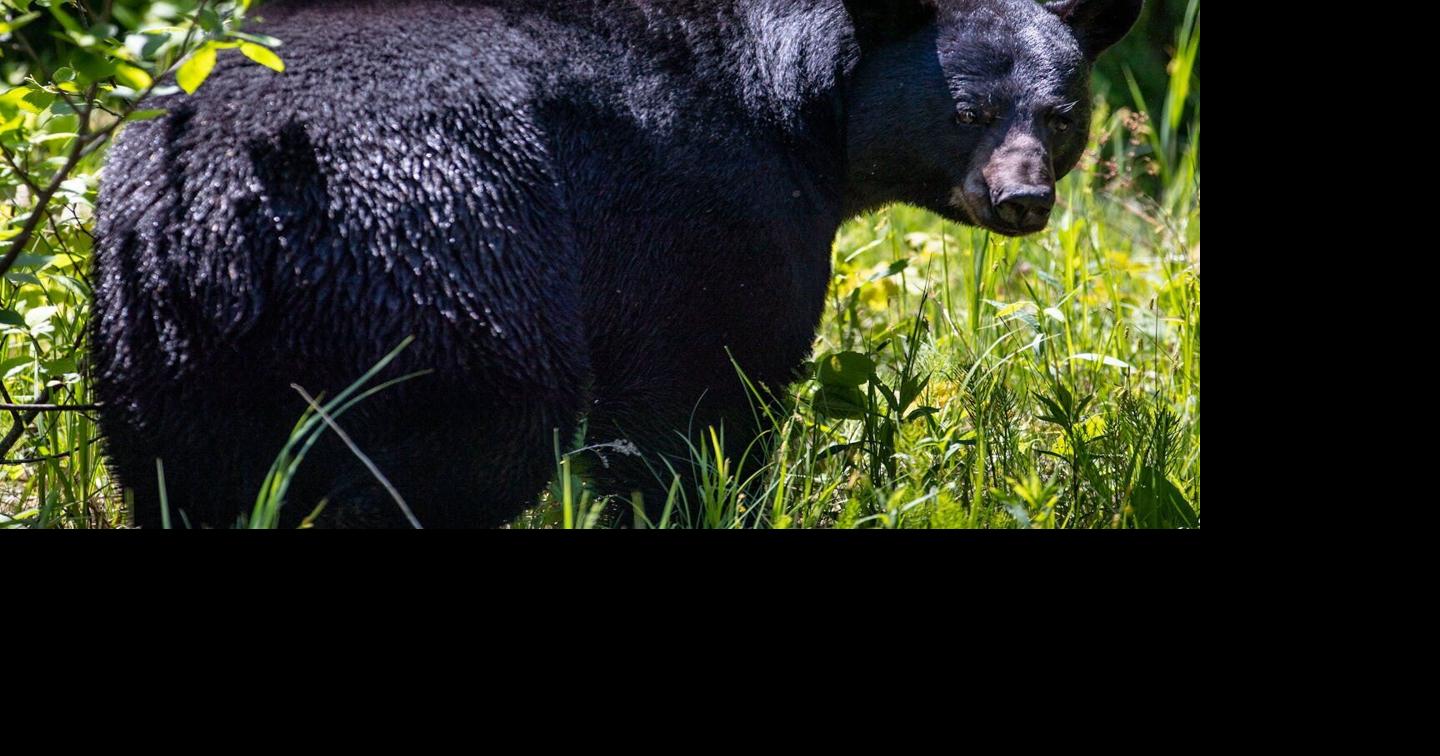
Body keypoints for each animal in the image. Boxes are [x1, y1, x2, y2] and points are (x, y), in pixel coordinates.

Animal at [91, 0, 1142, 528]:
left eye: (1060, 113)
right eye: (966, 111)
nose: (1022, 198)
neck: (793, 97)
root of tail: (231, 211)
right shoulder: (710, 205)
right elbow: (701, 393)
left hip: (156, 335)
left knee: (185, 479)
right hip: (447, 275)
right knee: (456, 456)